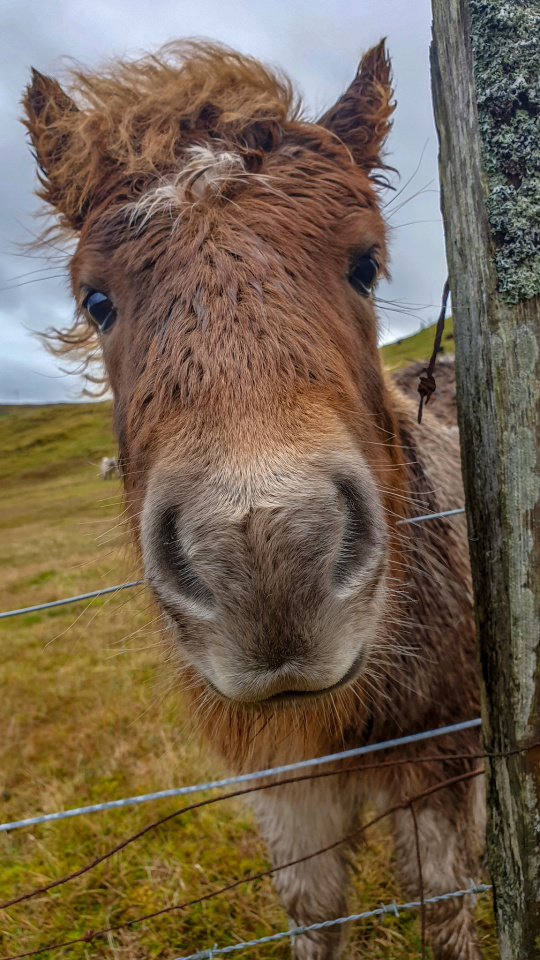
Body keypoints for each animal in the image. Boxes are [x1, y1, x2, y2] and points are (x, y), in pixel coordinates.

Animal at [22, 40, 484, 959]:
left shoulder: (441, 763)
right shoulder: (287, 786)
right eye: (97, 302)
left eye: (365, 265)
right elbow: (314, 913)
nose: (268, 556)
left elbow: (446, 913)